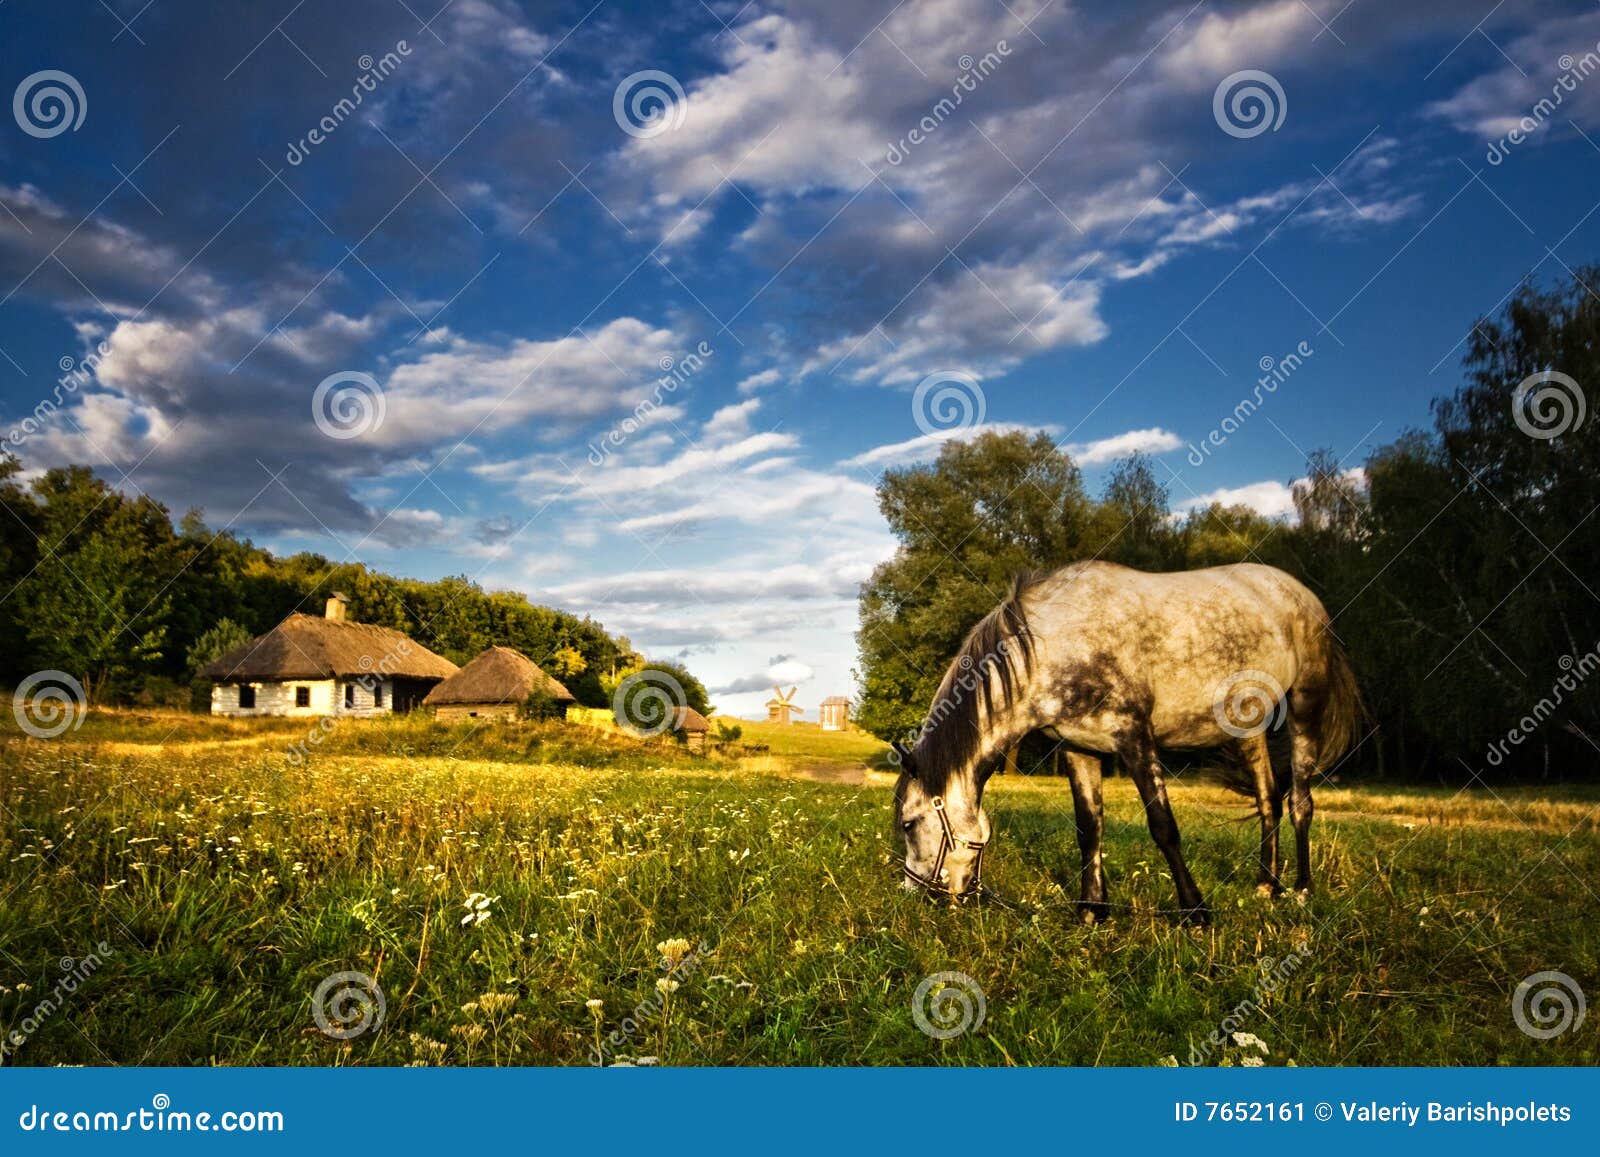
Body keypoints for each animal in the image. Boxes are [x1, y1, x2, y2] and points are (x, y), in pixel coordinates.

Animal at [893, 560, 1362, 925]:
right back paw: (1267, 886)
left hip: (1304, 705)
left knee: (1300, 802)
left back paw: (1301, 889)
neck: (1054, 645)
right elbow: (1089, 828)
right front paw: (1092, 910)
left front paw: (1195, 911)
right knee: (1269, 800)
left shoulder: (1135, 738)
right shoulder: (1081, 749)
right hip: (1249, 727)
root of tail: (1300, 594)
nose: (916, 895)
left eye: (909, 823)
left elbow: (1163, 827)